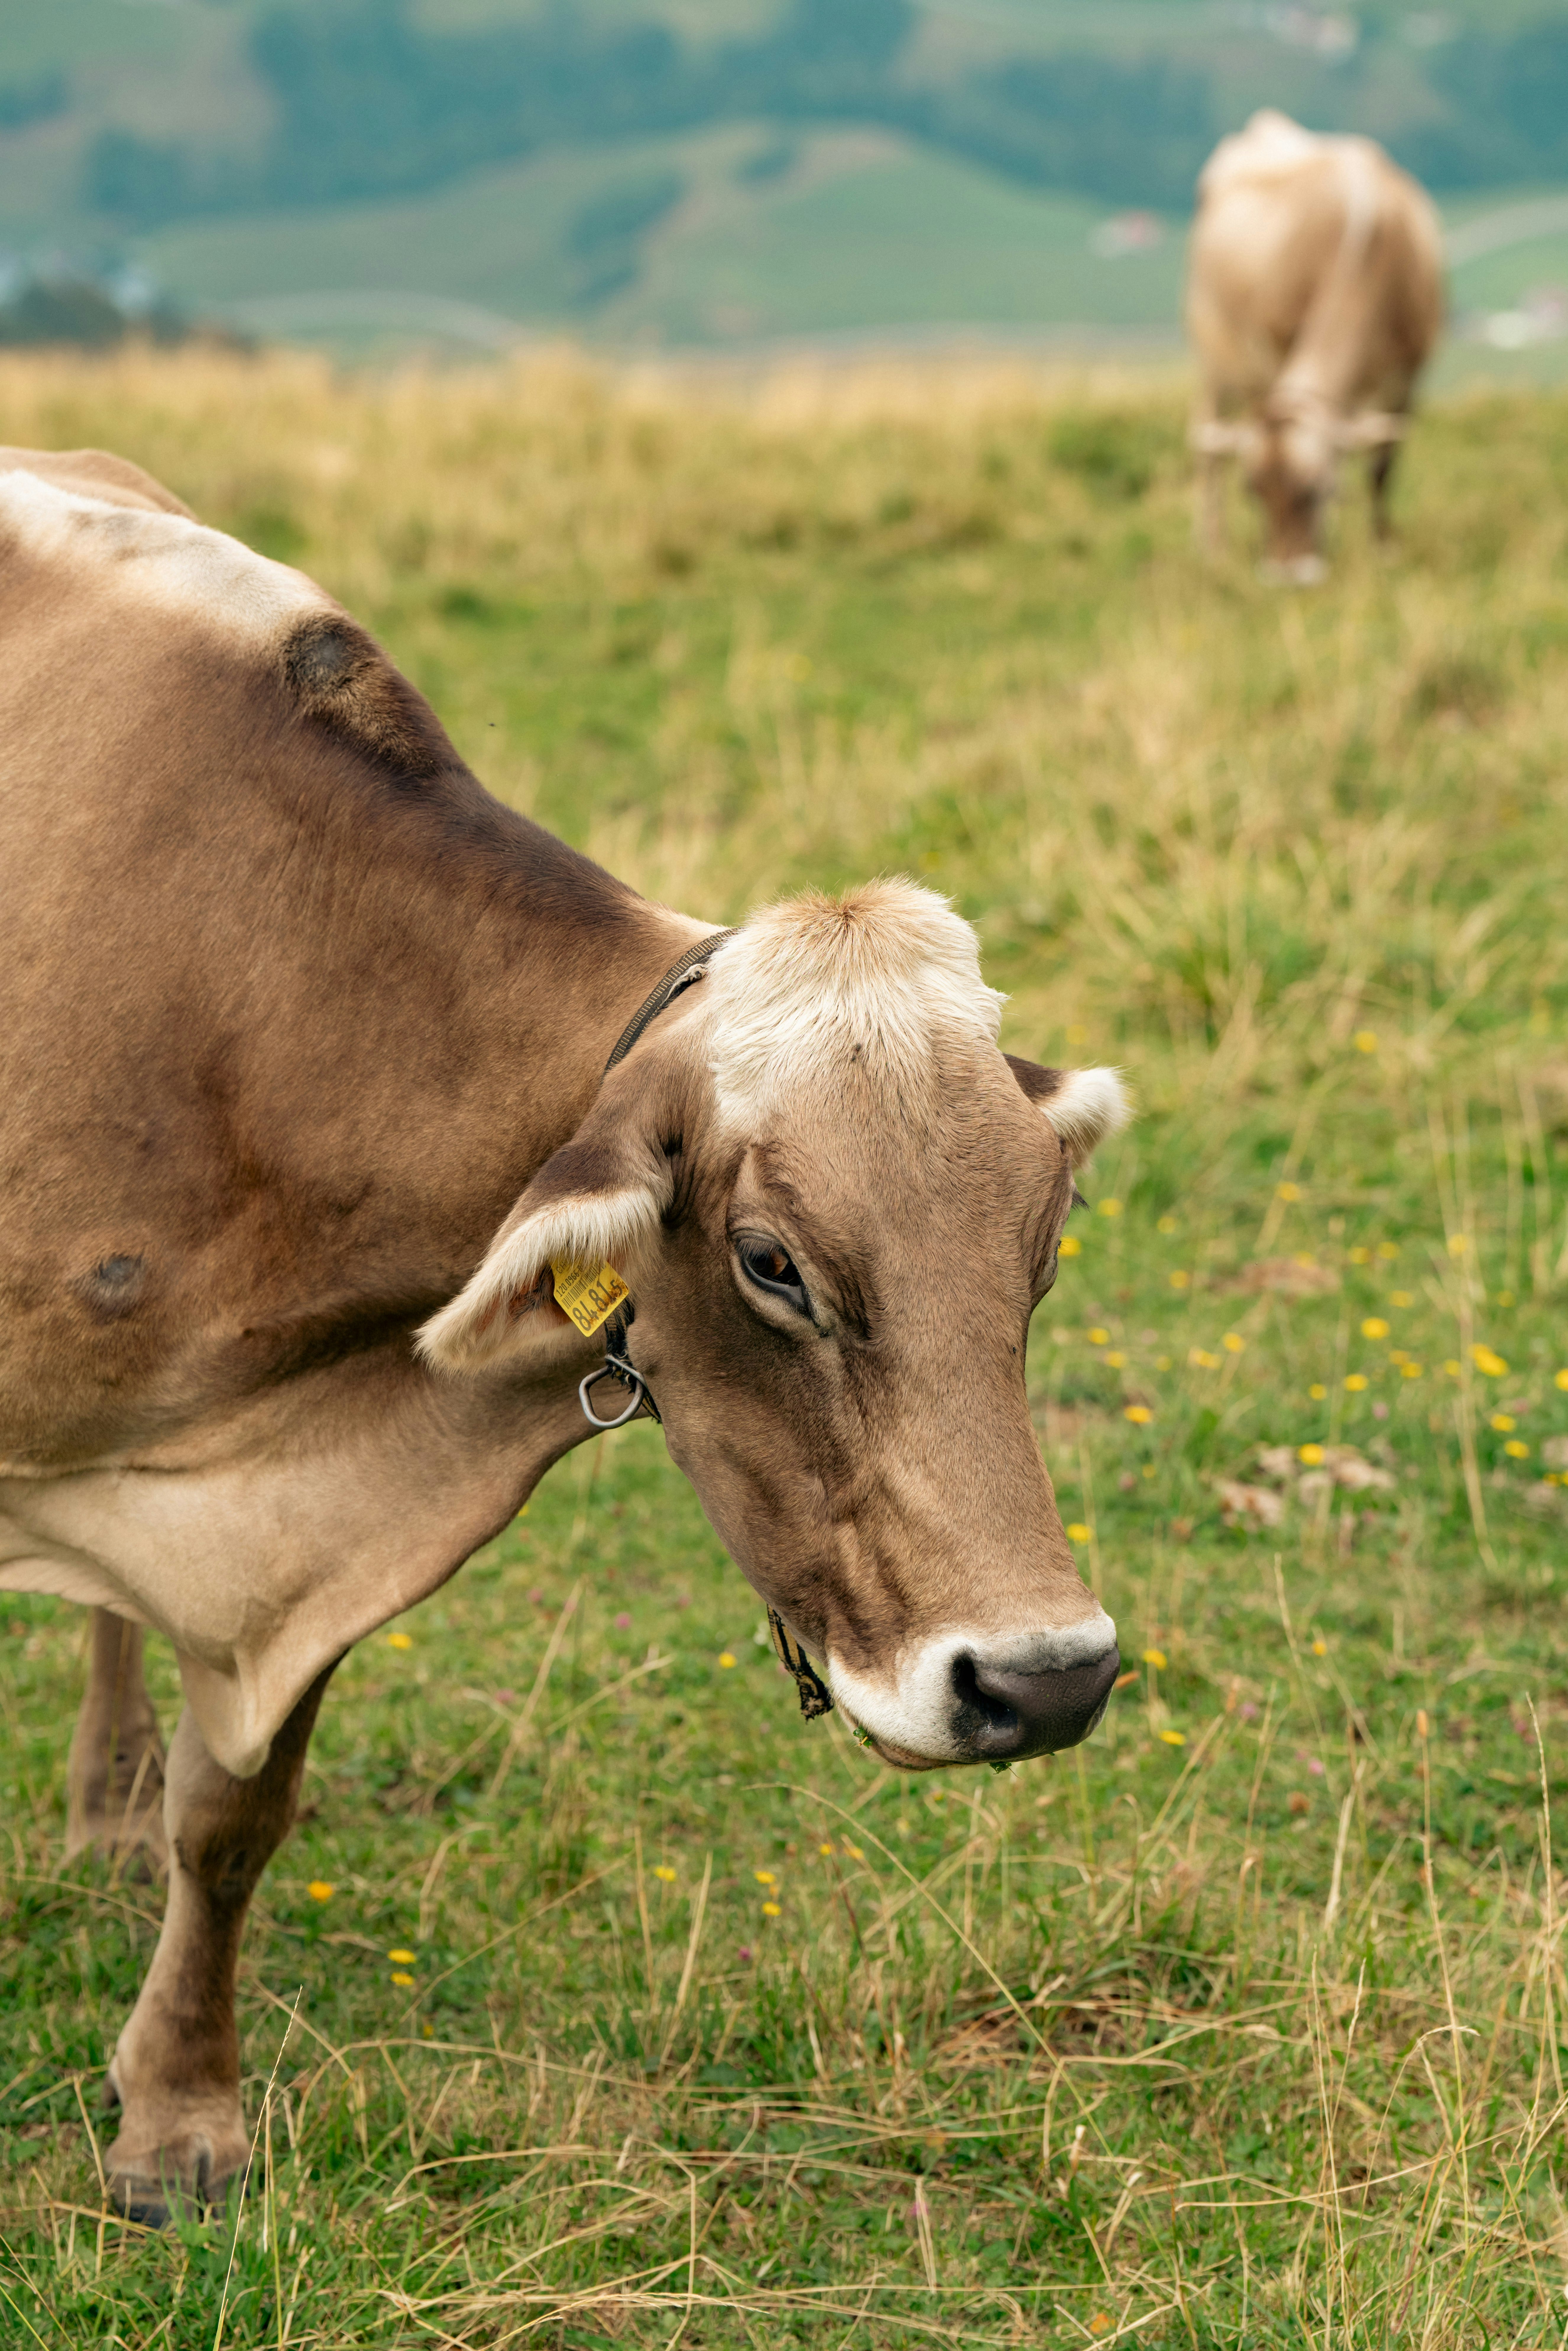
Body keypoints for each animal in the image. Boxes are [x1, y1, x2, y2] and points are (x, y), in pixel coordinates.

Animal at [0, 447, 1128, 2222]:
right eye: (769, 1264)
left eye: (1040, 1249)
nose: (1047, 1680)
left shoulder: (293, 1549)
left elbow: (232, 1819)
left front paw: (177, 2114)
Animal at [1186, 109, 1444, 582]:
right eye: (1253, 491)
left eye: (1318, 488)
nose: (1287, 578)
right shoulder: (1277, 348)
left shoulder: (1407, 374)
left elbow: (1382, 464)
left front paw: (1380, 548)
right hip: (1212, 347)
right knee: (1208, 446)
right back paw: (1212, 548)